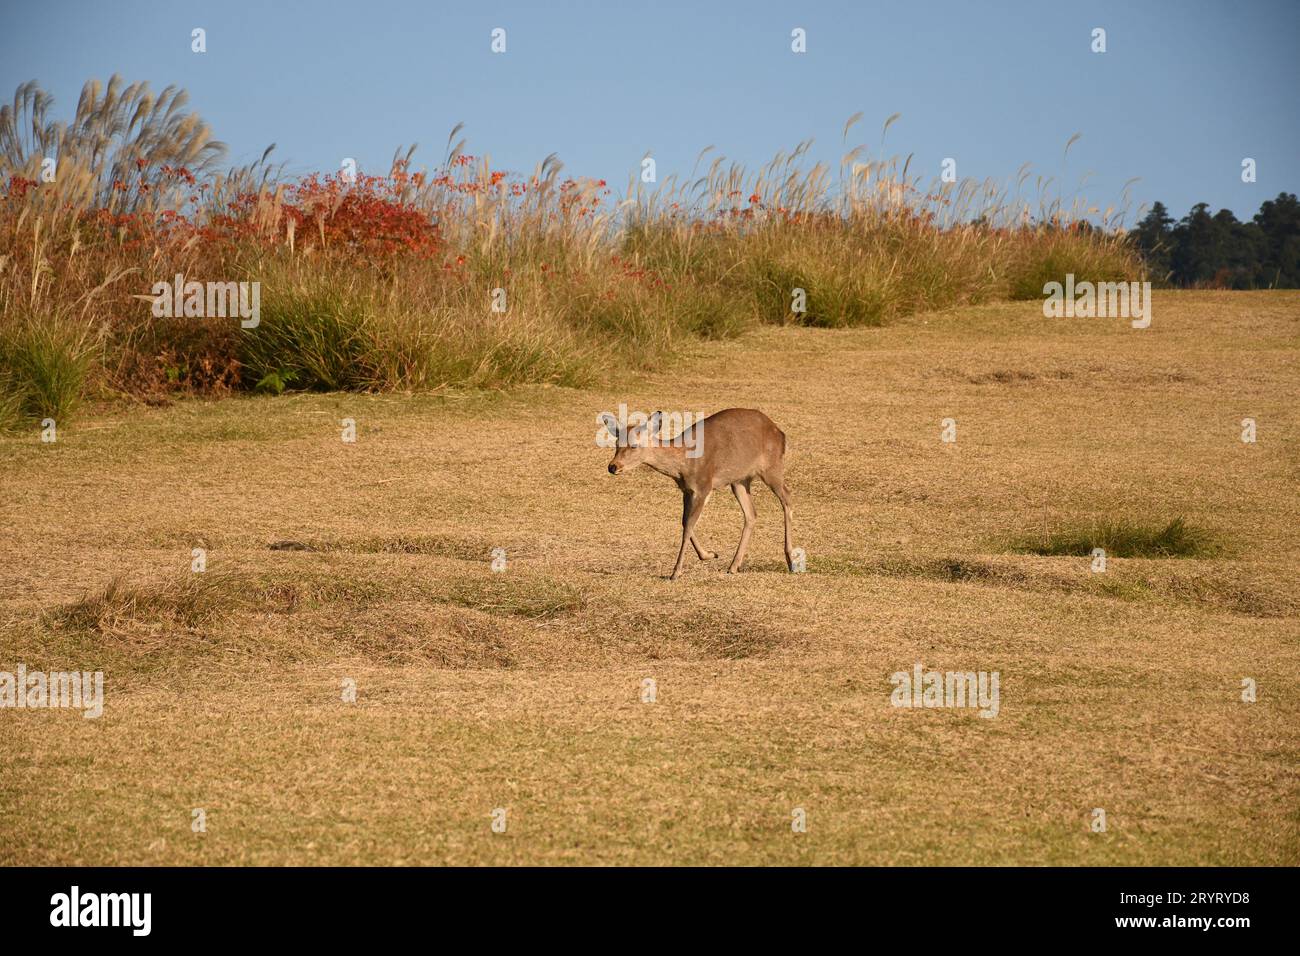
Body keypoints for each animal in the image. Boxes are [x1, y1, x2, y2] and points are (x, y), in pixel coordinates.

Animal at [600, 407, 795, 580]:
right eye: (616, 444)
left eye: (633, 445)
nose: (612, 466)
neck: (683, 465)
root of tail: (781, 434)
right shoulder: (686, 490)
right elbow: (685, 522)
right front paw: (710, 554)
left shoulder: (704, 486)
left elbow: (688, 526)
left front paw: (676, 572)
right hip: (740, 480)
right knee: (751, 514)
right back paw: (733, 566)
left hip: (771, 467)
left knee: (787, 498)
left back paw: (791, 560)